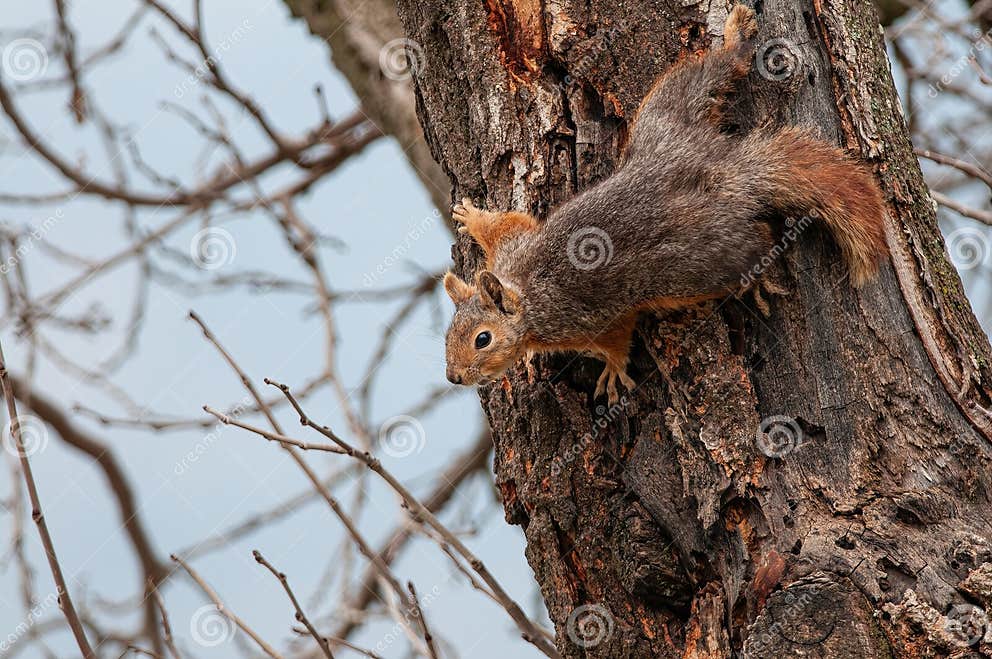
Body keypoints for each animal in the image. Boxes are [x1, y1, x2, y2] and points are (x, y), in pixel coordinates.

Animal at [443, 5, 888, 405]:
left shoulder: (583, 317)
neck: (523, 291)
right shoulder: (515, 245)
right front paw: (472, 216)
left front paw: (613, 370)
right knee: (715, 72)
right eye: (448, 335)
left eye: (483, 339)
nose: (453, 377)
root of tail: (724, 169)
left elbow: (616, 337)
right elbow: (509, 224)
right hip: (668, 116)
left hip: (695, 262)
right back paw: (735, 39)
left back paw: (755, 280)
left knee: (756, 241)